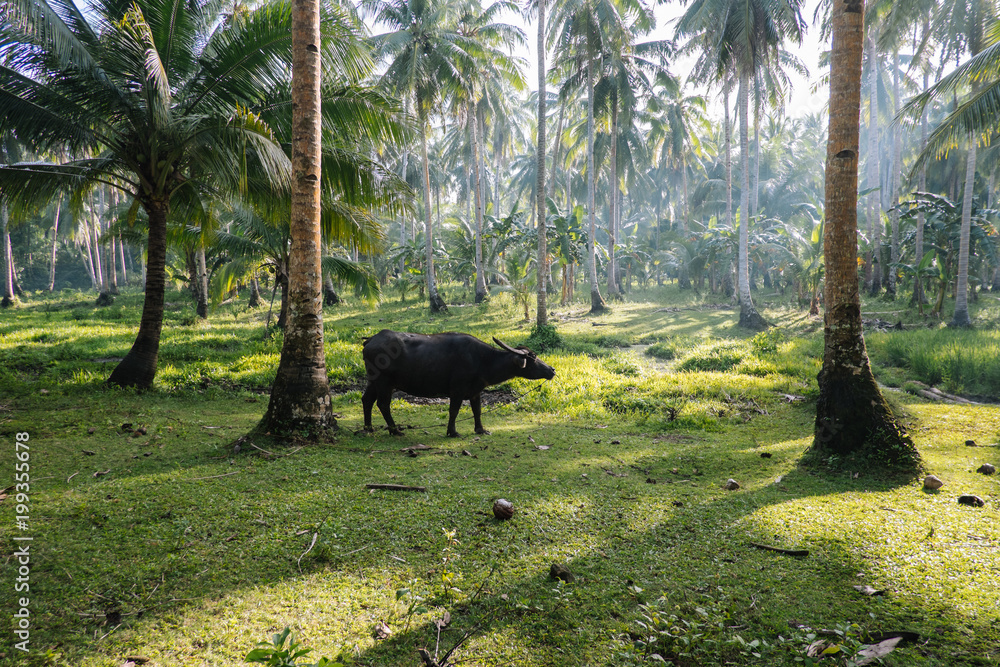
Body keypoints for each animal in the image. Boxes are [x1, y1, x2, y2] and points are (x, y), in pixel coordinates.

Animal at [361, 330, 555, 437]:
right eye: (533, 357)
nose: (552, 370)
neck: (483, 360)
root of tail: (371, 340)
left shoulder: (476, 391)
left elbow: (477, 410)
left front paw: (480, 430)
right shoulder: (457, 390)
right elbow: (454, 411)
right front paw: (452, 432)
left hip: (373, 380)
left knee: (367, 400)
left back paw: (368, 428)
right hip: (384, 382)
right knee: (382, 404)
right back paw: (394, 430)